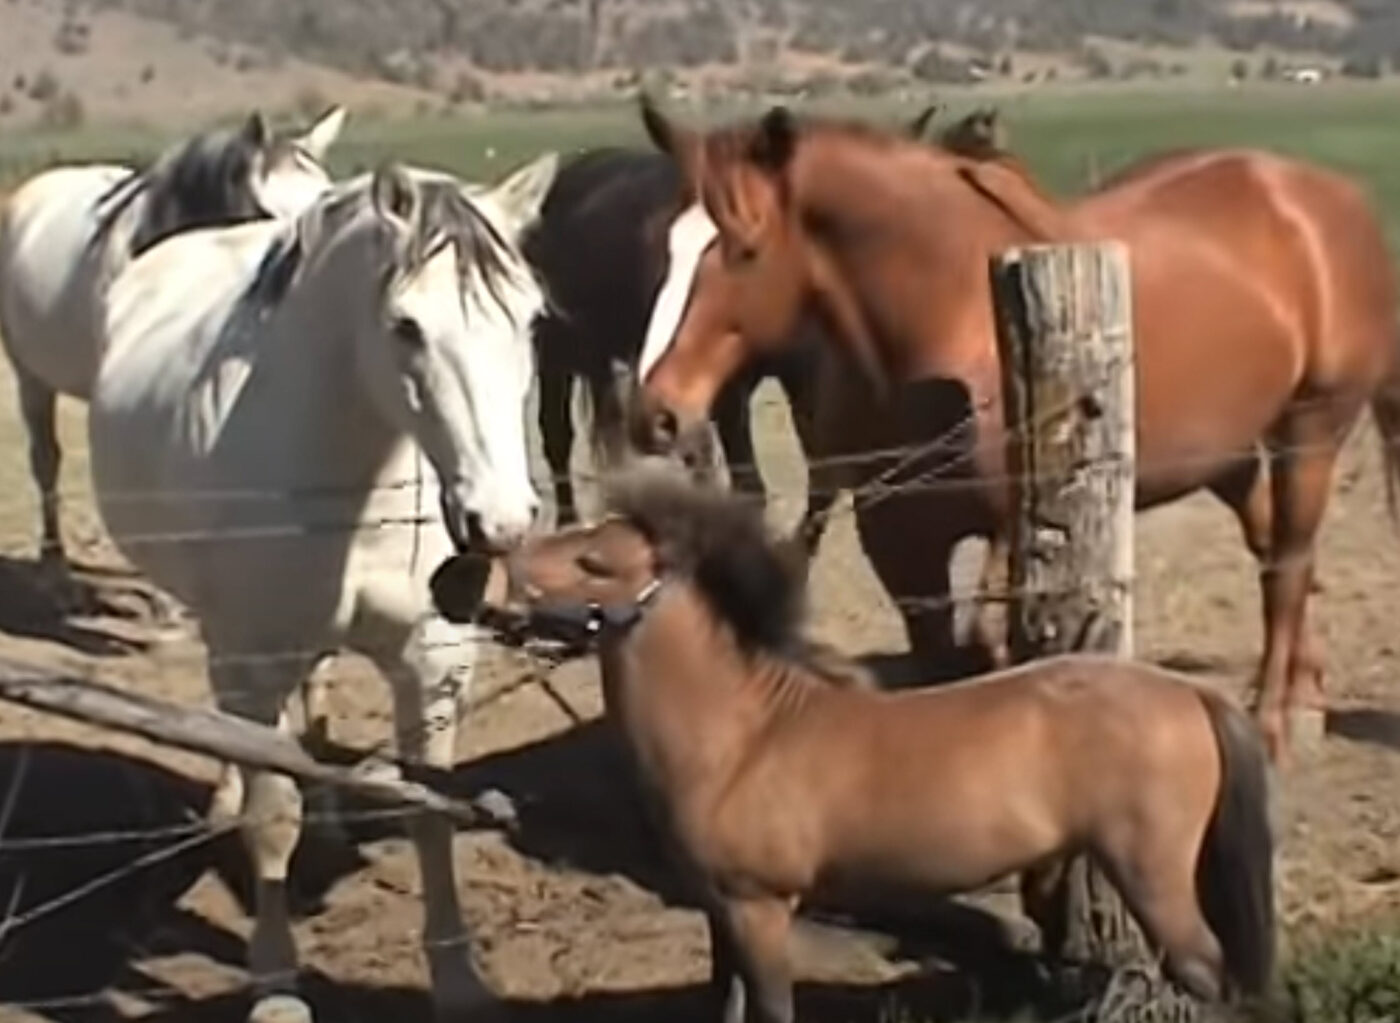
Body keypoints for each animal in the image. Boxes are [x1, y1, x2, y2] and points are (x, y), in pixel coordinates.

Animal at [86, 154, 558, 1018]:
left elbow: (428, 809)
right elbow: (273, 815)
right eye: (406, 326)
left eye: (532, 320)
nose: (500, 519)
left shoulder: (434, 659)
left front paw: (459, 979)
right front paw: (276, 984)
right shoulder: (254, 656)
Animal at [432, 469, 1275, 1022]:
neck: (744, 739)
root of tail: (1189, 694)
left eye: (595, 562)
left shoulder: (762, 909)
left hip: (1154, 877)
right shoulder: (725, 912)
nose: (458, 577)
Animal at [626, 98, 1400, 765]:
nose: (655, 413)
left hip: (1312, 429)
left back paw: (1273, 722)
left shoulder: (1011, 535)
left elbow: (997, 654)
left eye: (747, 249)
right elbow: (940, 666)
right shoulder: (899, 545)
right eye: (664, 245)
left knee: (1289, 562)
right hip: (1228, 453)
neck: (947, 314)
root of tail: (1323, 196)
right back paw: (1307, 696)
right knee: (1274, 548)